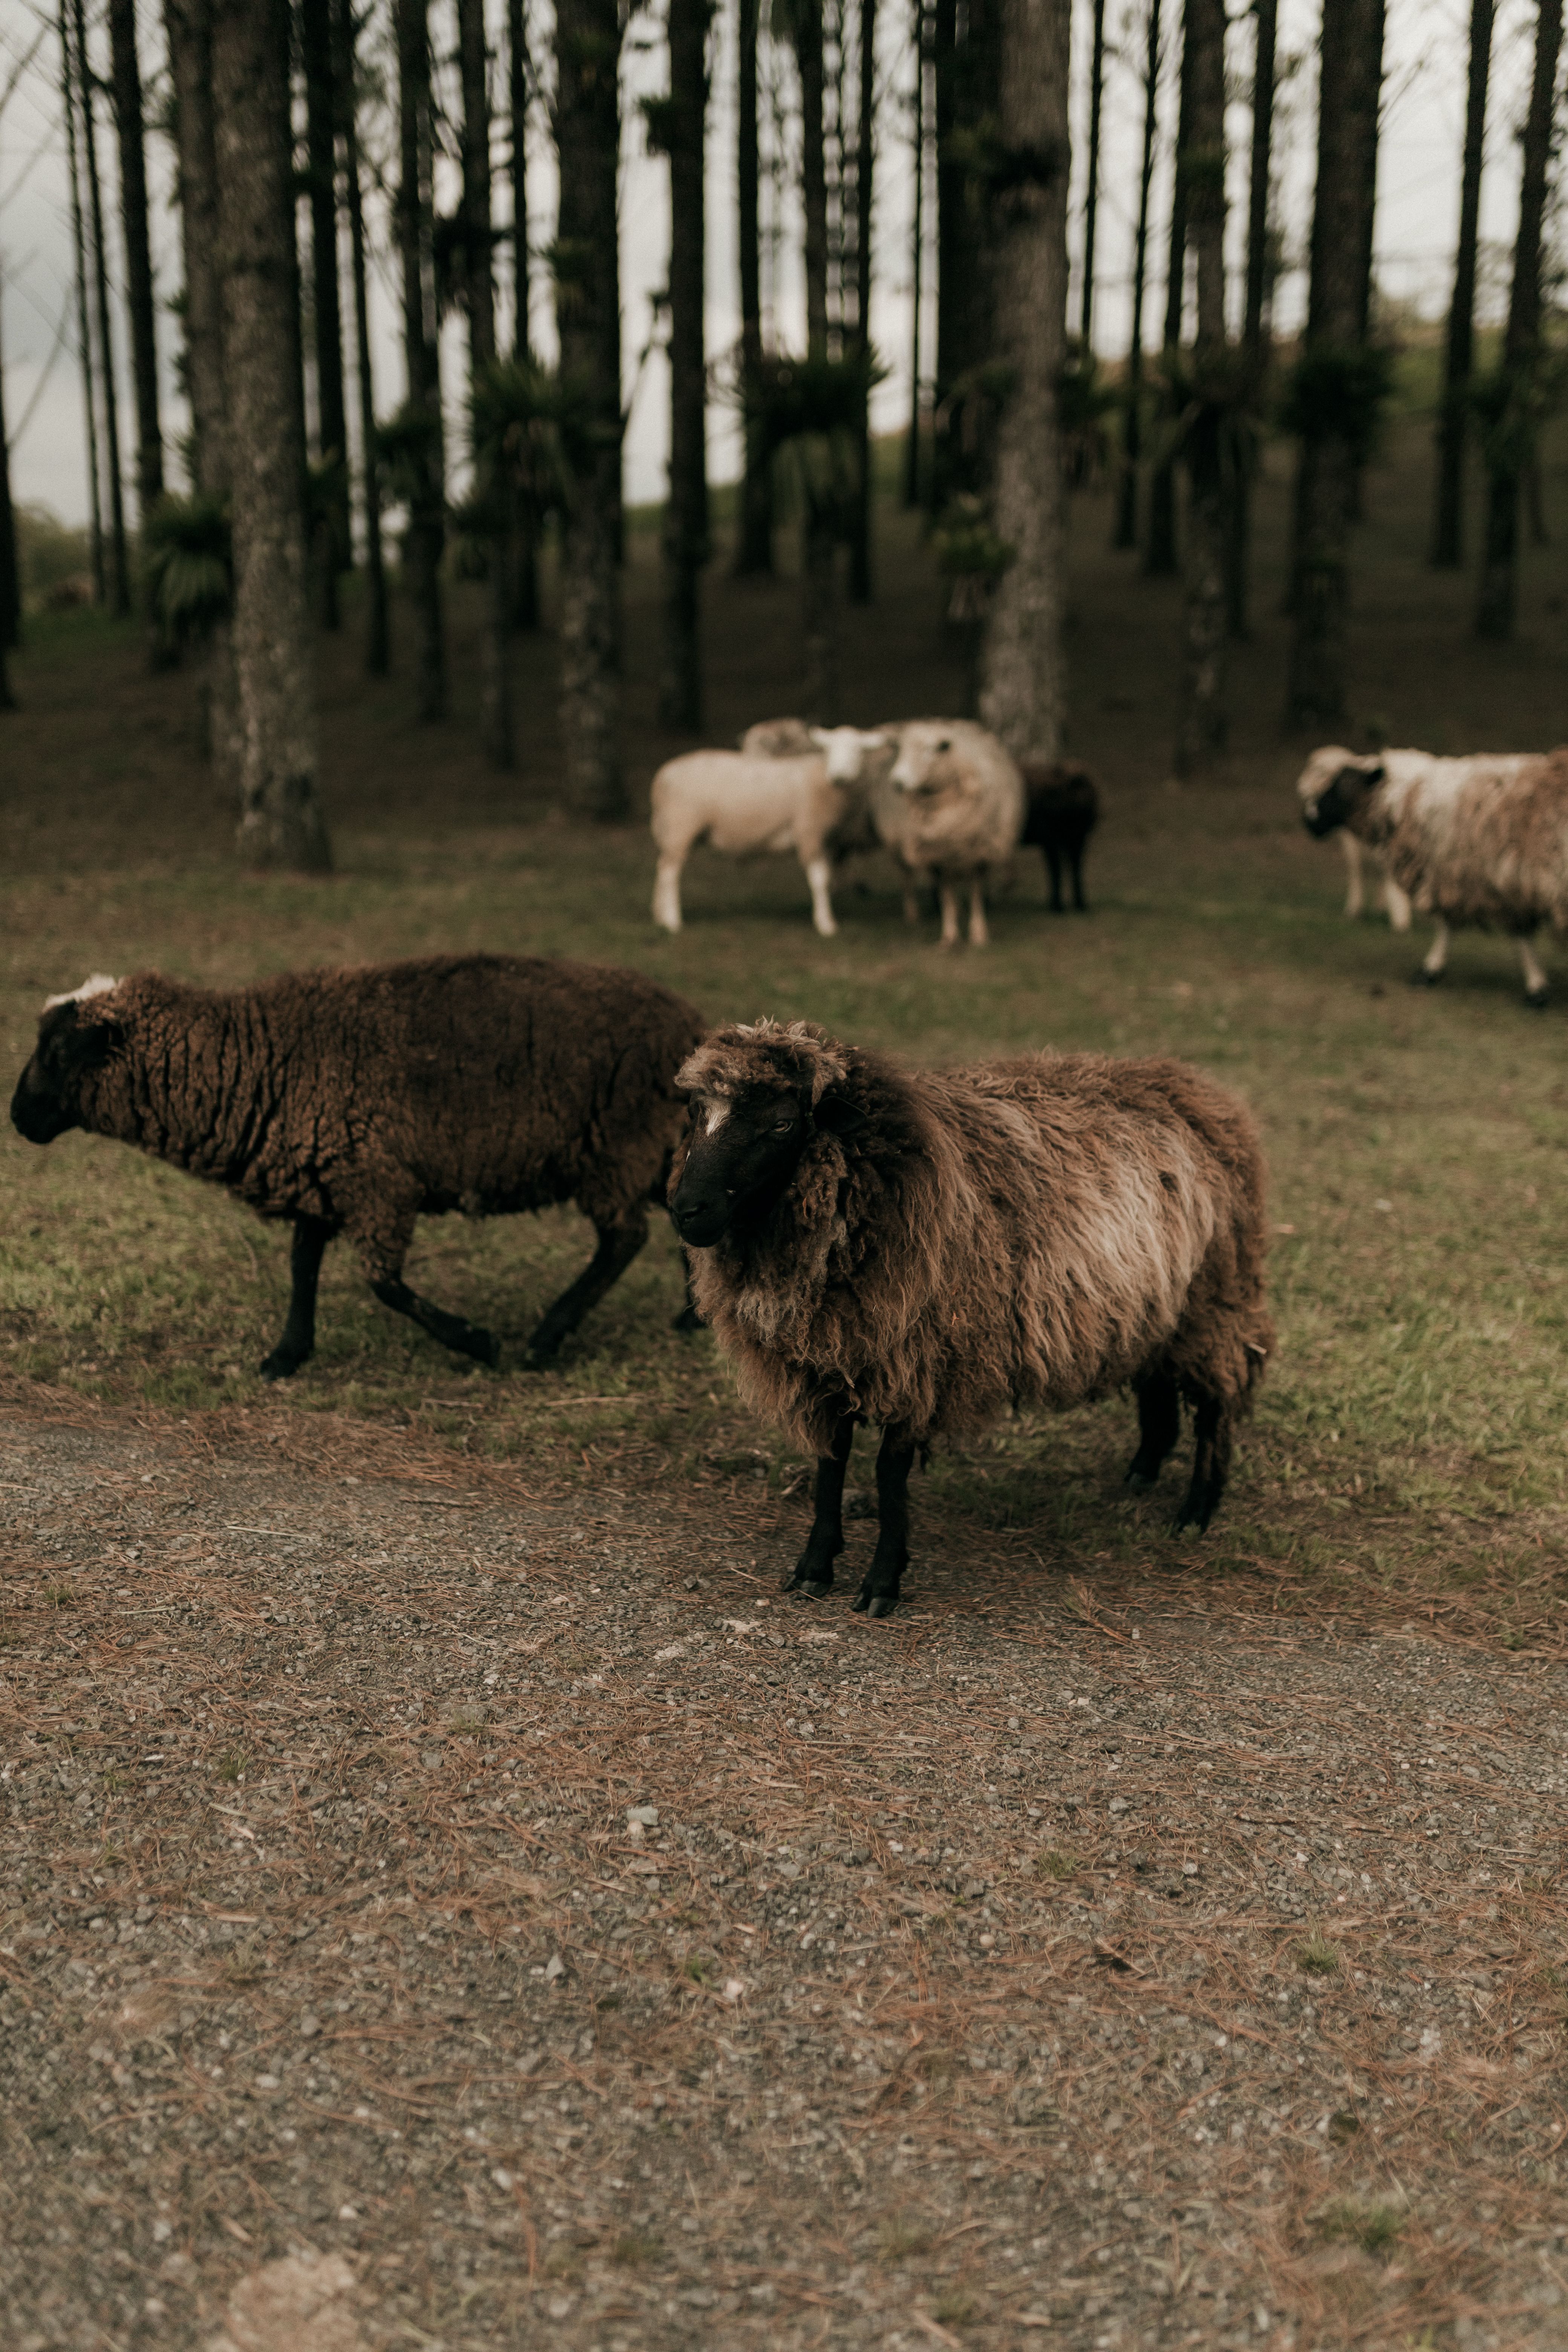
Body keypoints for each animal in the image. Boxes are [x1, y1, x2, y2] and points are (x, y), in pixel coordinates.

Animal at [11, 955, 706, 1380]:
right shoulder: (318, 1174)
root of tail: (688, 1023)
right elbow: (303, 1267)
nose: (17, 1118)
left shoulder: (377, 1183)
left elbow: (385, 1285)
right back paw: (692, 1317)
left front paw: (476, 1341)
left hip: (616, 1147)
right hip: (659, 1144)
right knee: (687, 1219)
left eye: (60, 1052)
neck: (254, 1061)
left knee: (624, 1239)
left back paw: (547, 1338)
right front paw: (286, 1355)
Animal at [650, 727, 889, 938]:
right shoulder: (808, 830)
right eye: (828, 748)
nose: (839, 776)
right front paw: (825, 923)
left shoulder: (826, 840)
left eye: (859, 750)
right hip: (682, 825)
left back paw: (659, 916)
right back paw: (672, 921)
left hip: (671, 829)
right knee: (670, 872)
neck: (823, 778)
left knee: (662, 867)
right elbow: (819, 880)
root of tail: (661, 779)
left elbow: (828, 879)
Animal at [668, 1018, 1273, 1617]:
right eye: (698, 1114)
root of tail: (1194, 1086)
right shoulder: (831, 1357)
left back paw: (1195, 1512)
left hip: (1215, 1301)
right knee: (1157, 1378)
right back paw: (1143, 1471)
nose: (686, 1210)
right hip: (1156, 1304)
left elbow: (888, 1475)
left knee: (1216, 1402)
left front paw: (882, 1582)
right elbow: (831, 1464)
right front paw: (815, 1567)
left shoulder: (920, 1361)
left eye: (783, 1124)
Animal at [880, 719, 1025, 947]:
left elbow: (976, 893)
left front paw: (978, 934)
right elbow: (947, 896)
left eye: (929, 750)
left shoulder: (978, 853)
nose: (898, 782)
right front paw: (950, 936)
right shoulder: (939, 858)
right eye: (901, 751)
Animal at [1299, 743, 1568, 1005]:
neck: (1405, 797)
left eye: (1336, 787)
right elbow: (1450, 926)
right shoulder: (1469, 881)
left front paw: (1536, 987)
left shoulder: (1495, 882)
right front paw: (1432, 969)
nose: (1309, 821)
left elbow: (1517, 937)